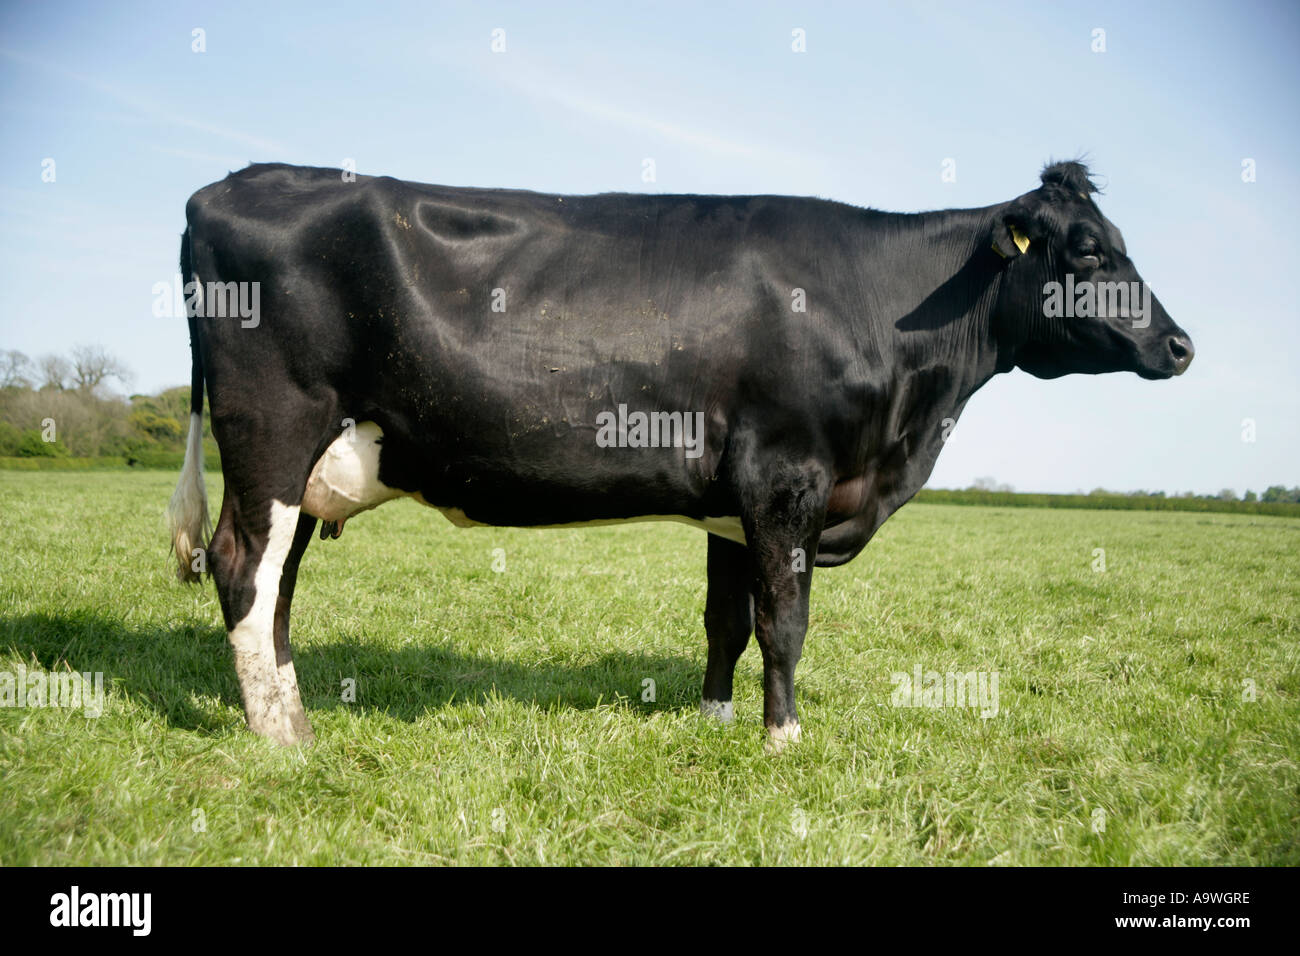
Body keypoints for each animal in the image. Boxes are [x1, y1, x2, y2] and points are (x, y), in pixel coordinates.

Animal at [167, 161, 1193, 749]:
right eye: (1089, 251)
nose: (1181, 346)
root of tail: (228, 185)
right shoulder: (787, 475)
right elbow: (785, 623)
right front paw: (785, 741)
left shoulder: (734, 502)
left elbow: (724, 623)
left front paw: (716, 720)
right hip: (274, 429)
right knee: (242, 569)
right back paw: (280, 741)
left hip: (309, 468)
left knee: (274, 589)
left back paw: (296, 718)